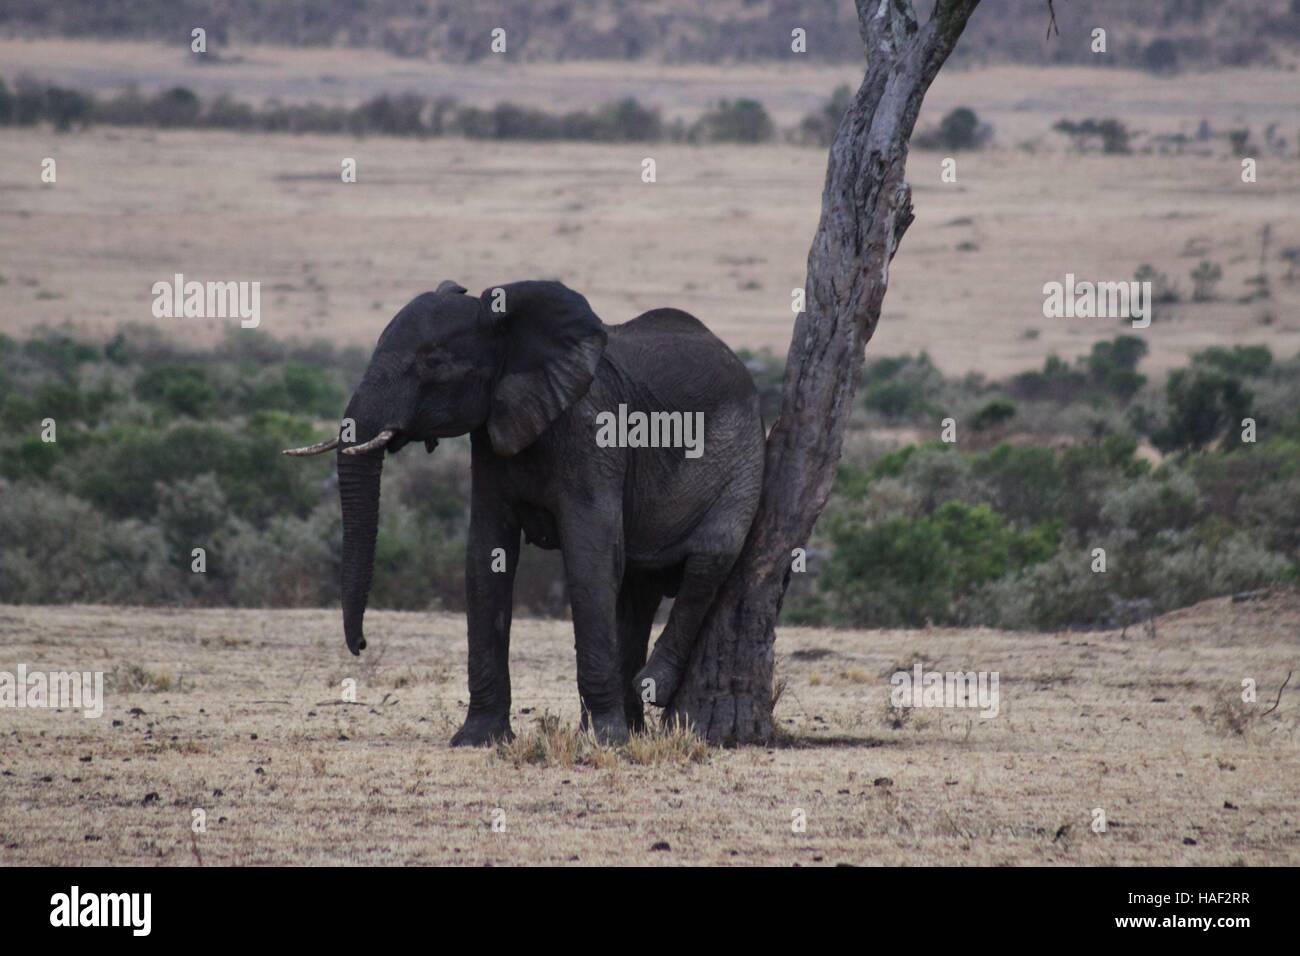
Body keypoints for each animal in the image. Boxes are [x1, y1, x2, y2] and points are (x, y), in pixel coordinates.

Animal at [283, 279, 765, 745]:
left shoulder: (594, 433)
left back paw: (649, 689)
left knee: (711, 557)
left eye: (433, 364)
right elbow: (486, 555)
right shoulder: (488, 435)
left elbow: (590, 557)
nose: (361, 644)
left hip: (742, 456)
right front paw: (478, 740)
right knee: (639, 591)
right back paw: (634, 723)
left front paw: (605, 741)